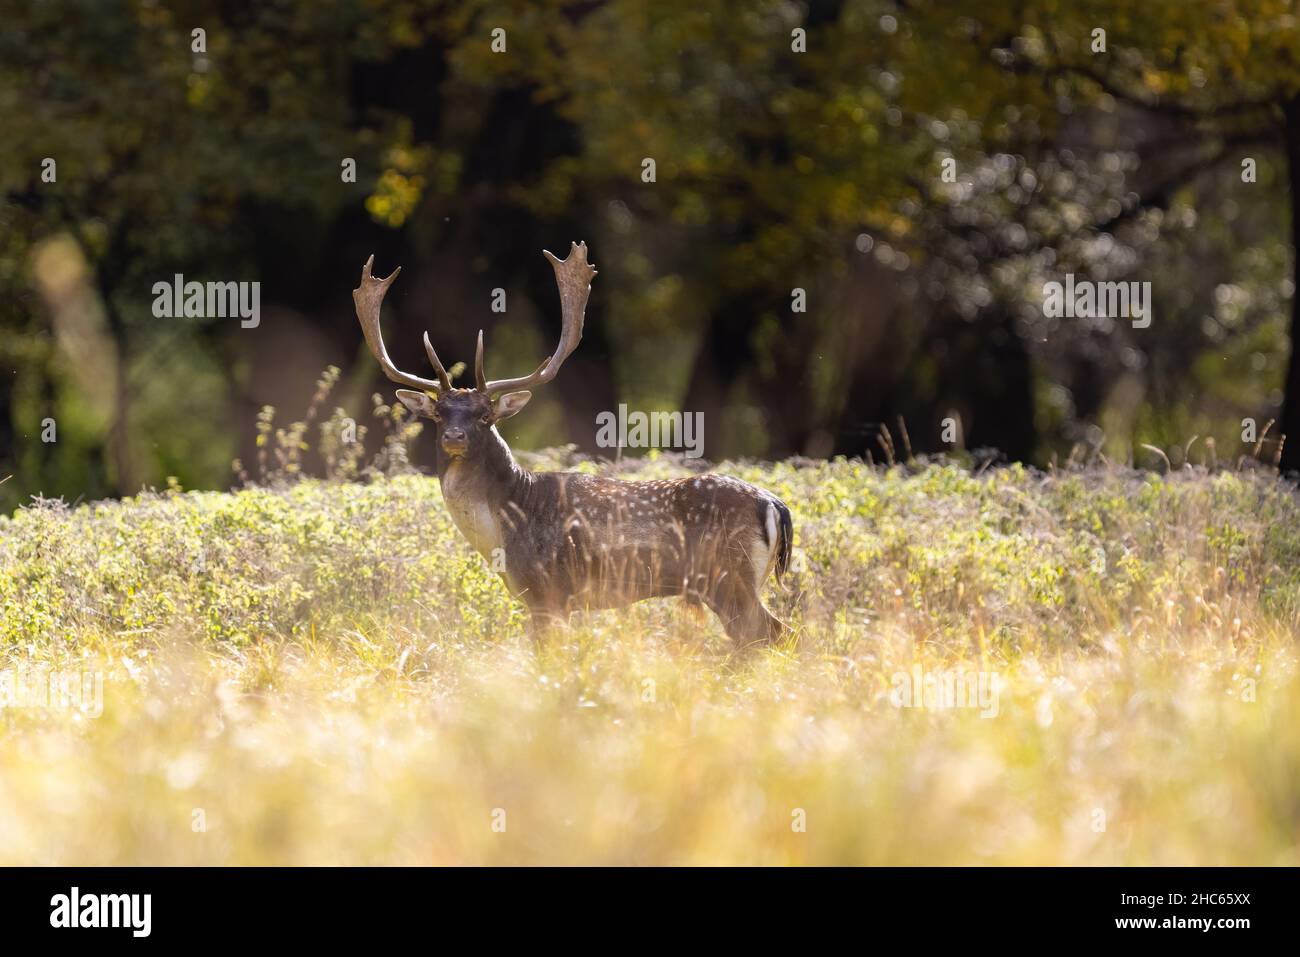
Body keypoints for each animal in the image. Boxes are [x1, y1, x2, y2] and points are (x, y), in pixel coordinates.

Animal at [353, 241, 794, 647]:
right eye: (440, 414)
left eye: (484, 416)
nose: (454, 437)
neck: (503, 528)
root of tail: (775, 504)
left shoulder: (549, 591)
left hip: (729, 576)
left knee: (768, 634)